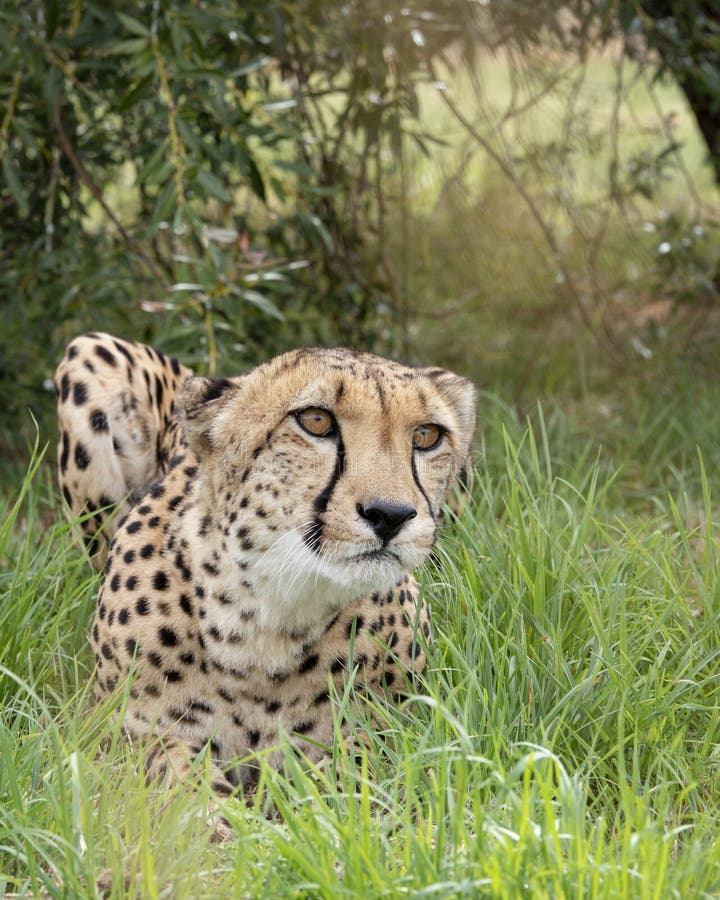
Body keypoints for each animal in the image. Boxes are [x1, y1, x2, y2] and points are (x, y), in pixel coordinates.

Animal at [56, 331, 475, 800]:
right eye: (315, 420)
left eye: (427, 435)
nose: (390, 514)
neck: (268, 614)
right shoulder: (121, 735)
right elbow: (179, 783)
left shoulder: (399, 729)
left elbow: (352, 777)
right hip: (92, 352)